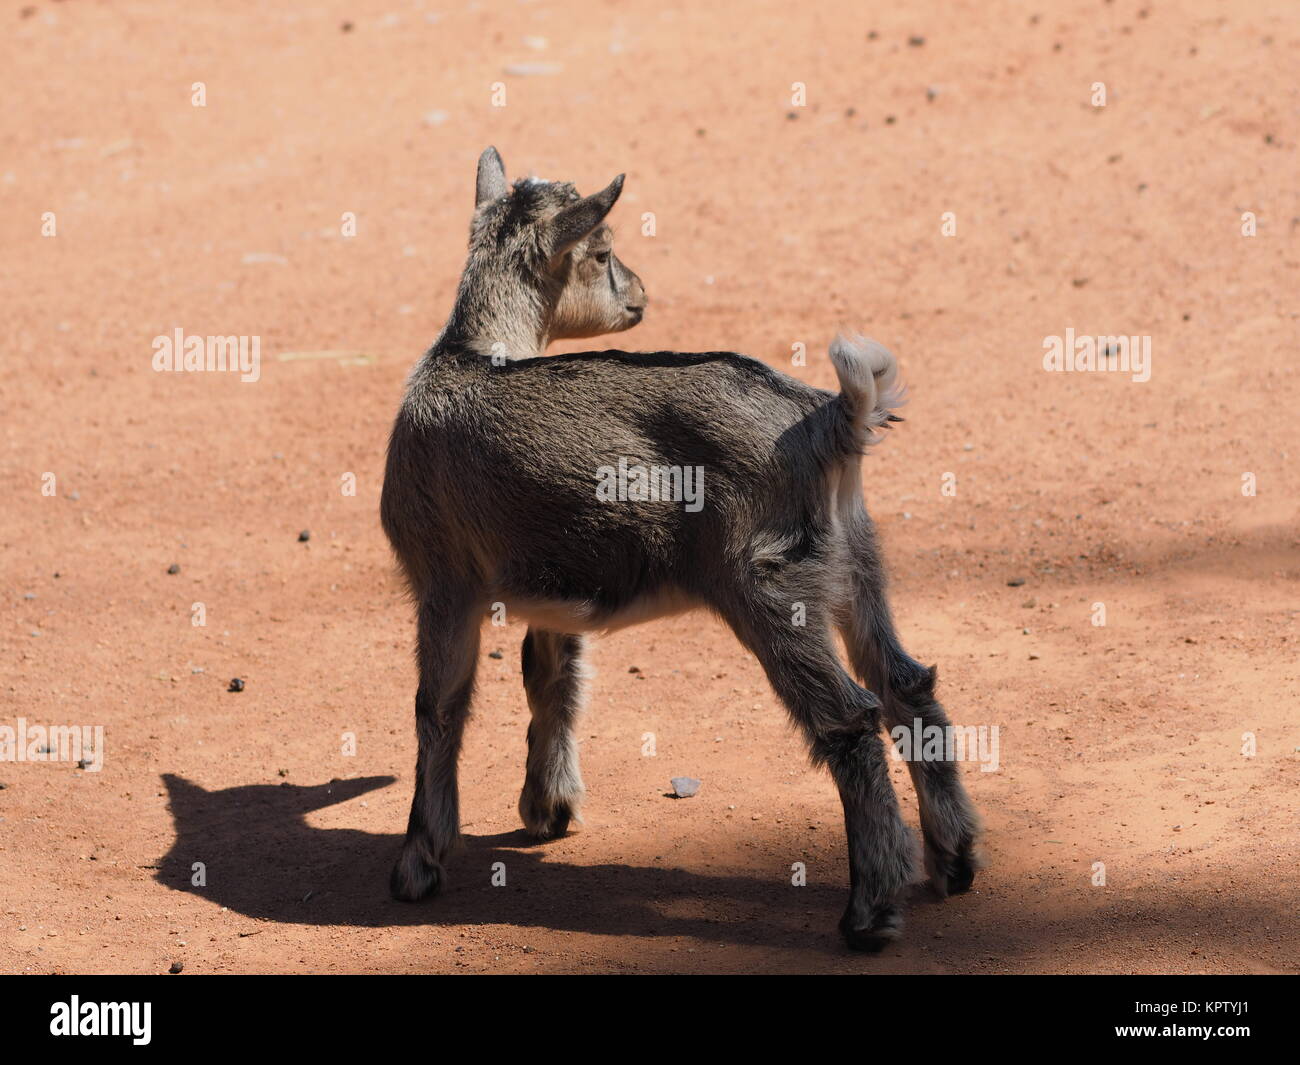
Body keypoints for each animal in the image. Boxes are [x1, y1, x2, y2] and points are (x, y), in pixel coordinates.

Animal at [379, 147, 979, 950]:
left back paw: (871, 912)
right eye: (604, 253)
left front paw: (419, 862)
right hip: (858, 567)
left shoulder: (441, 582)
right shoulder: (555, 589)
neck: (472, 356)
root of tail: (827, 417)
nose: (638, 294)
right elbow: (553, 682)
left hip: (767, 586)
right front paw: (549, 810)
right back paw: (955, 861)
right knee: (908, 684)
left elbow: (438, 707)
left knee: (850, 719)